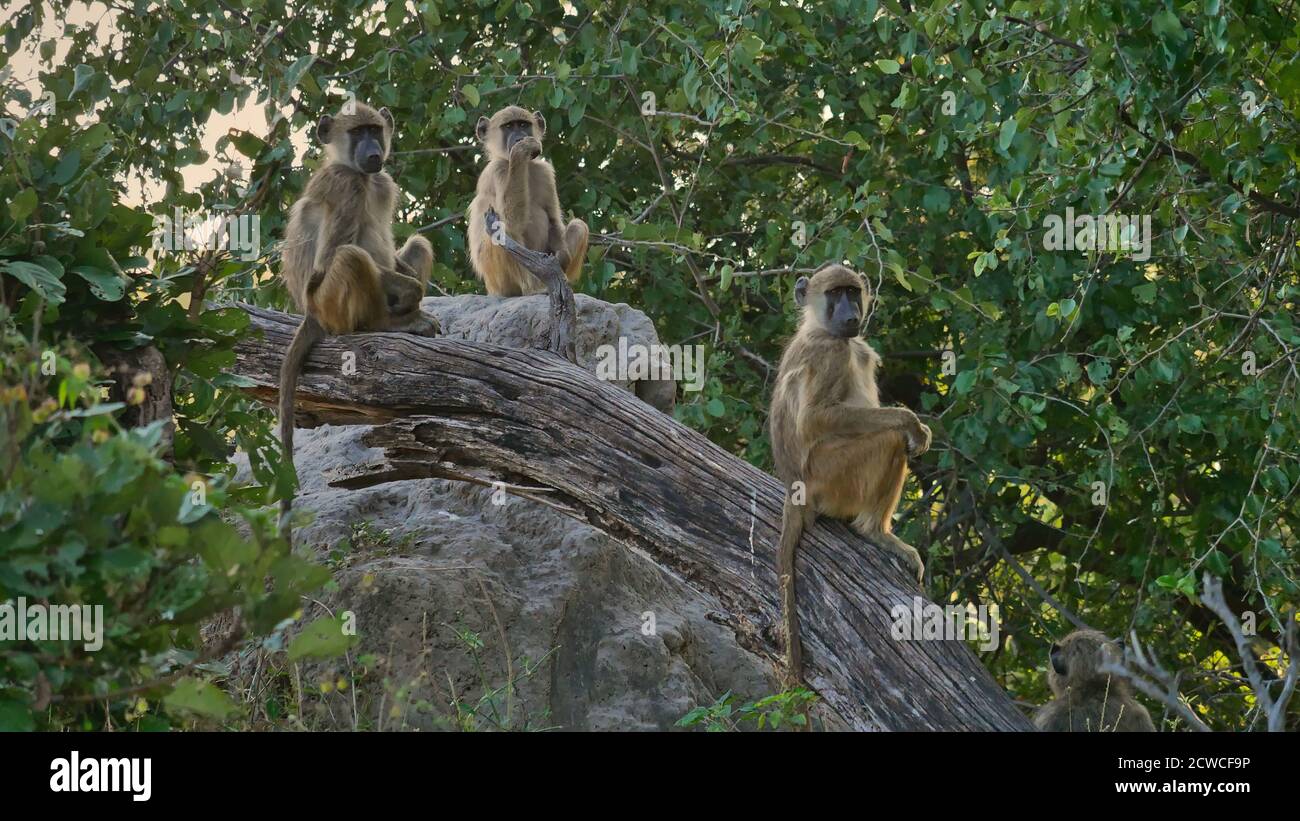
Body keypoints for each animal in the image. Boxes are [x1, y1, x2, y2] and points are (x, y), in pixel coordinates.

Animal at [277, 101, 439, 543]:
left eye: (374, 130)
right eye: (357, 133)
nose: (373, 152)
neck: (358, 172)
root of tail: (310, 314)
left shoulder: (381, 182)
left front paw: (414, 290)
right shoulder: (346, 186)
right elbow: (332, 256)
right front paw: (412, 299)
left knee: (417, 244)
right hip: (330, 304)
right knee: (349, 258)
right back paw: (389, 322)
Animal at [467, 106, 588, 296]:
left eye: (523, 125)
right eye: (509, 126)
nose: (519, 137)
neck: (526, 167)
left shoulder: (545, 171)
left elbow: (553, 219)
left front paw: (561, 258)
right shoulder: (498, 170)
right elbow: (511, 221)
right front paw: (520, 151)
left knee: (578, 225)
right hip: (500, 281)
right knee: (502, 227)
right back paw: (532, 288)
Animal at [768, 263, 931, 683]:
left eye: (852, 292)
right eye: (834, 294)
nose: (849, 314)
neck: (822, 328)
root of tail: (795, 489)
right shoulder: (833, 353)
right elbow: (816, 418)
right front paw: (913, 423)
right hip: (832, 479)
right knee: (889, 440)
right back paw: (876, 533)